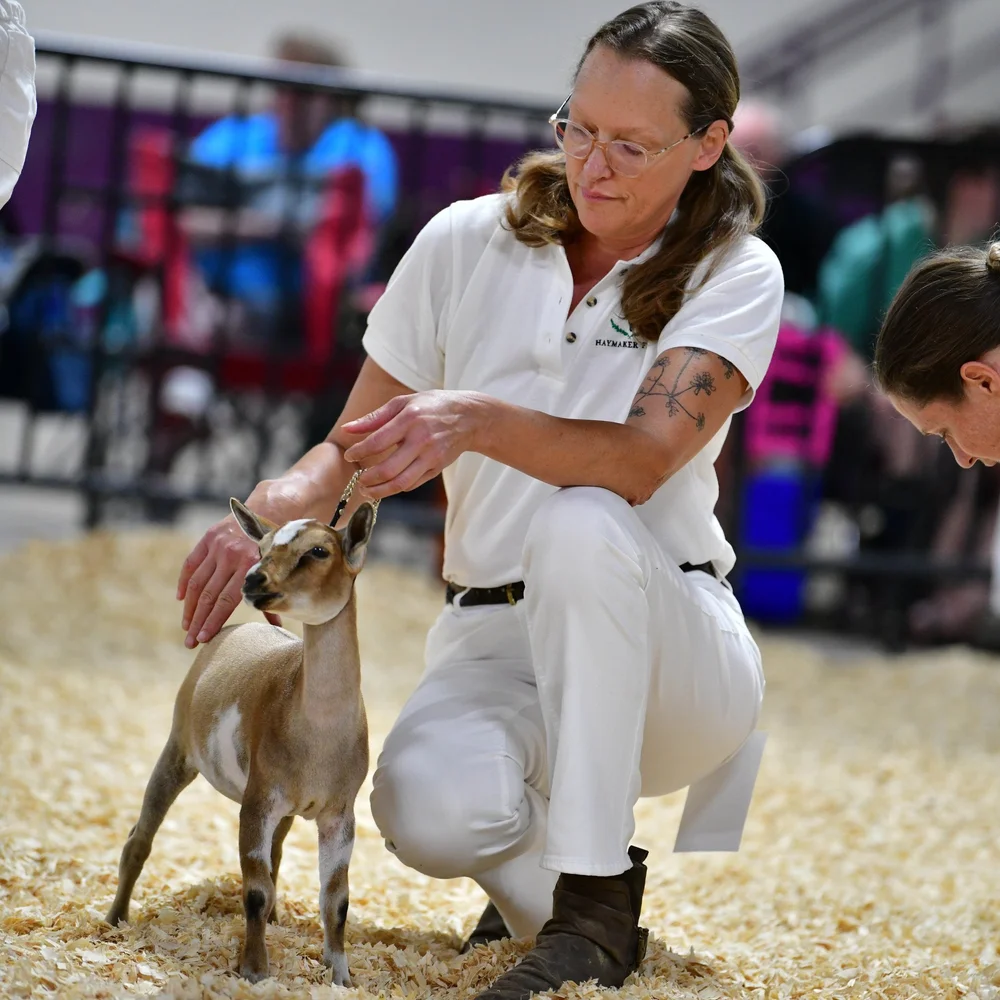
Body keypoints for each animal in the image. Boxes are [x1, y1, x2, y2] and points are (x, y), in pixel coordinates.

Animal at [105, 498, 375, 986]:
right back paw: (114, 920)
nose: (253, 580)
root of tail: (237, 630)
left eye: (318, 551)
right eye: (262, 548)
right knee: (139, 840)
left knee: (277, 855)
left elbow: (336, 900)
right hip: (179, 748)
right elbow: (254, 890)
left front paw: (341, 976)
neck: (318, 735)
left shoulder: (339, 813)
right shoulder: (258, 799)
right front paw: (253, 970)